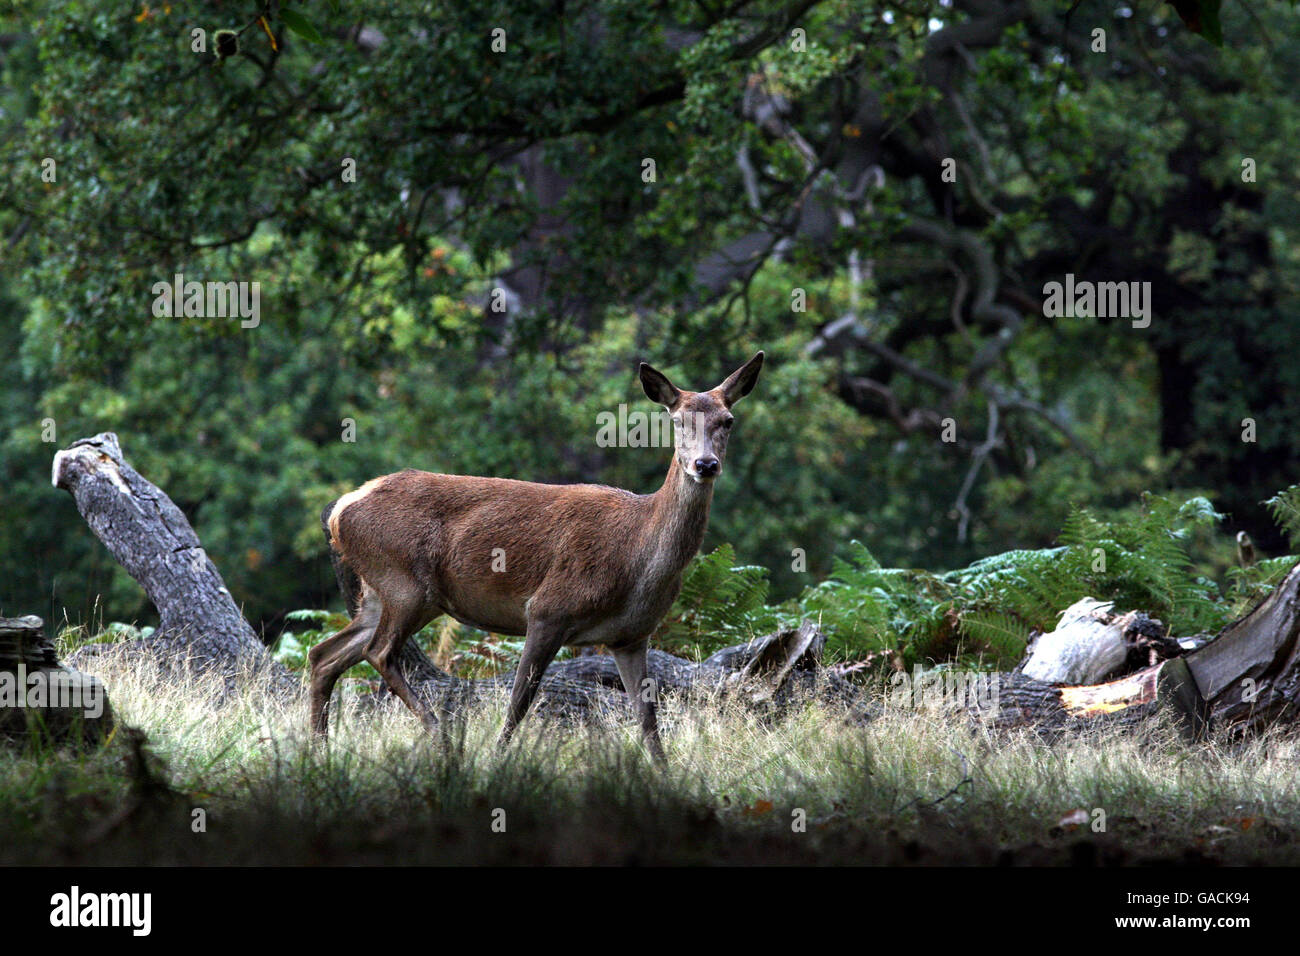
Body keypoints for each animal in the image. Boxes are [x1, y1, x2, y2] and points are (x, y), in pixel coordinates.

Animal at [310, 352, 764, 762]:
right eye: (677, 420)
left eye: (728, 420)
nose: (705, 464)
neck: (636, 557)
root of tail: (338, 509)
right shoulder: (548, 609)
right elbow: (519, 702)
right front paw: (496, 762)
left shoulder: (632, 636)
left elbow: (649, 723)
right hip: (404, 582)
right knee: (378, 652)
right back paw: (442, 739)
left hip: (379, 592)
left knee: (325, 655)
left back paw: (320, 750)